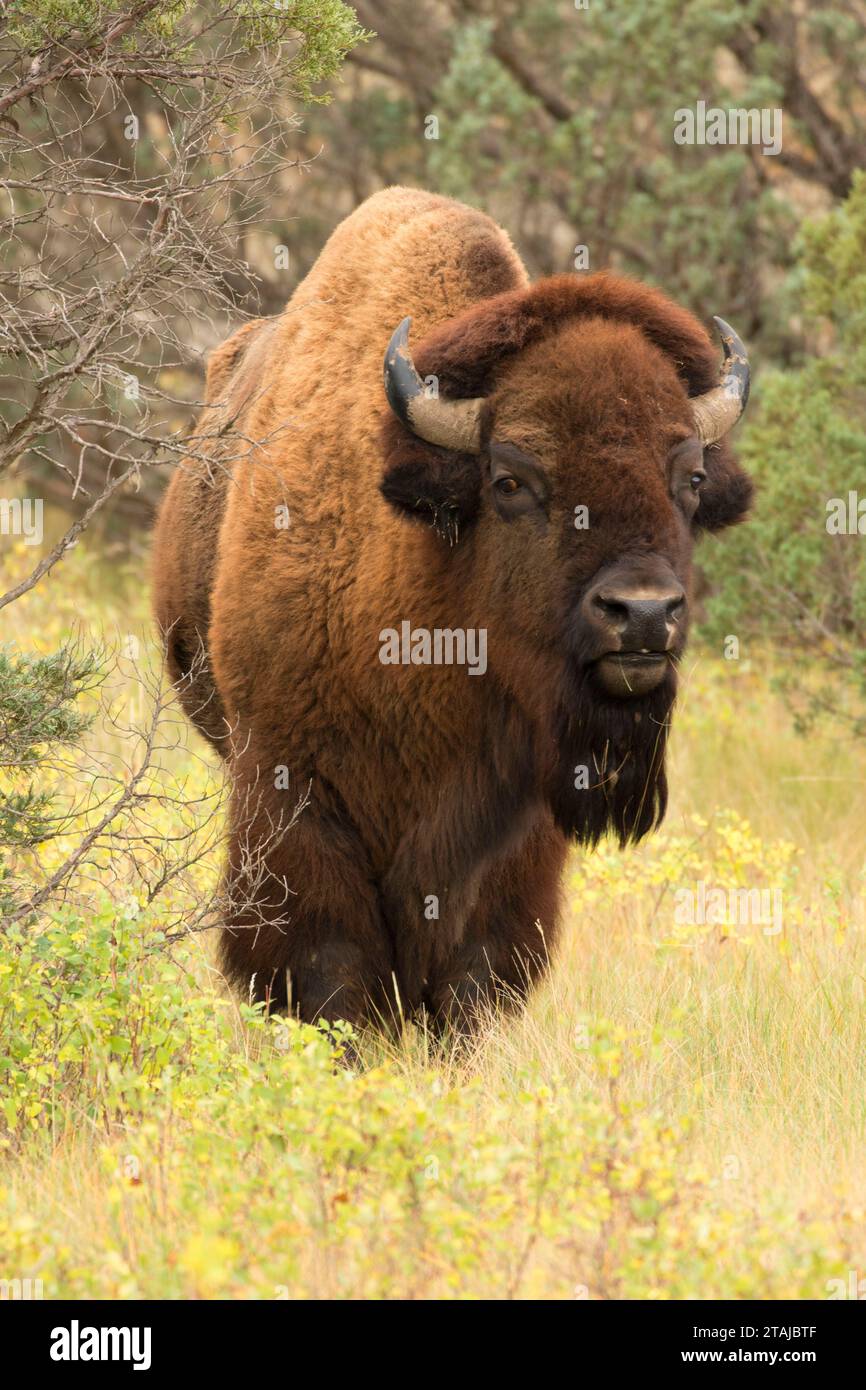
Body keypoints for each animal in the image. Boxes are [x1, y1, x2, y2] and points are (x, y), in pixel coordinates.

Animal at [152, 187, 753, 1034]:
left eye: (692, 478)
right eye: (511, 479)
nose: (641, 614)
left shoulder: (518, 828)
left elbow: (473, 971)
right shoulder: (290, 792)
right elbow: (332, 969)